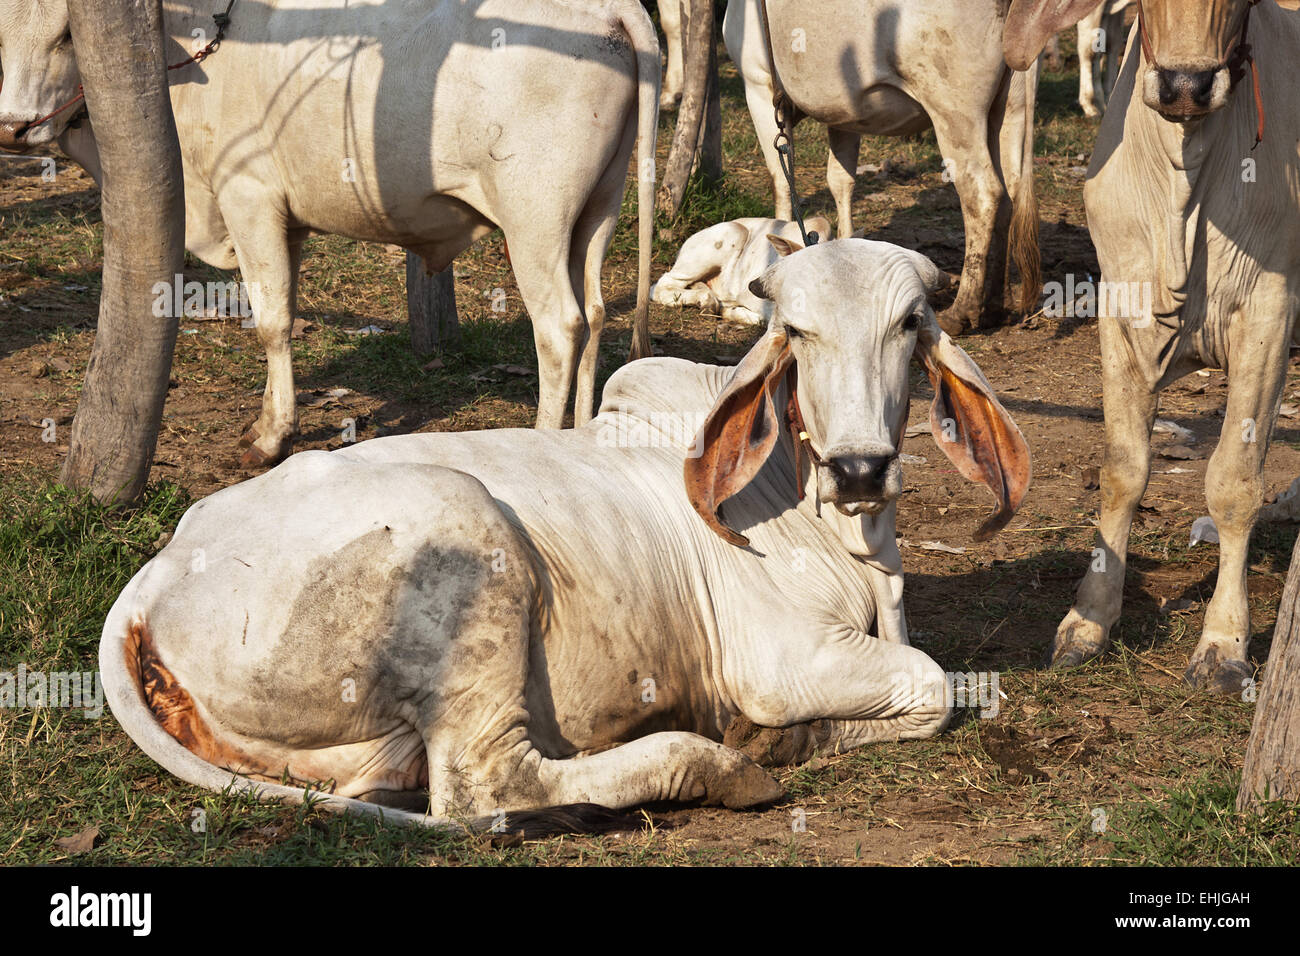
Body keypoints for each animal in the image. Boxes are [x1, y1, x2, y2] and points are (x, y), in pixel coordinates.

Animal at [0, 0, 658, 463]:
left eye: (69, 35)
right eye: (4, 32)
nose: (14, 129)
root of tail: (609, 9)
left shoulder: (249, 196)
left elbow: (270, 321)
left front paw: (273, 440)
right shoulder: (286, 222)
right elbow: (281, 313)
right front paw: (266, 421)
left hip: (534, 221)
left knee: (560, 328)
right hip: (596, 213)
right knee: (596, 314)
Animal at [99, 239, 1031, 826]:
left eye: (909, 324)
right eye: (796, 332)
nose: (861, 468)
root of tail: (161, 571)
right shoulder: (782, 662)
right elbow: (935, 685)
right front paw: (774, 736)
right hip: (466, 535)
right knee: (485, 785)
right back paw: (719, 766)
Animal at [721, 0, 1041, 336]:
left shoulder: (759, 86)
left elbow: (781, 180)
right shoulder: (842, 111)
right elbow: (840, 181)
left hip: (955, 113)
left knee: (983, 195)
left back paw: (962, 311)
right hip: (1009, 106)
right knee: (1009, 195)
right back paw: (993, 306)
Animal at [1004, 0, 1300, 693]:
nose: (1186, 86)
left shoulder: (1270, 315)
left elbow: (1233, 484)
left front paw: (1224, 643)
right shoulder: (1119, 308)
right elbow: (1123, 469)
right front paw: (1089, 619)